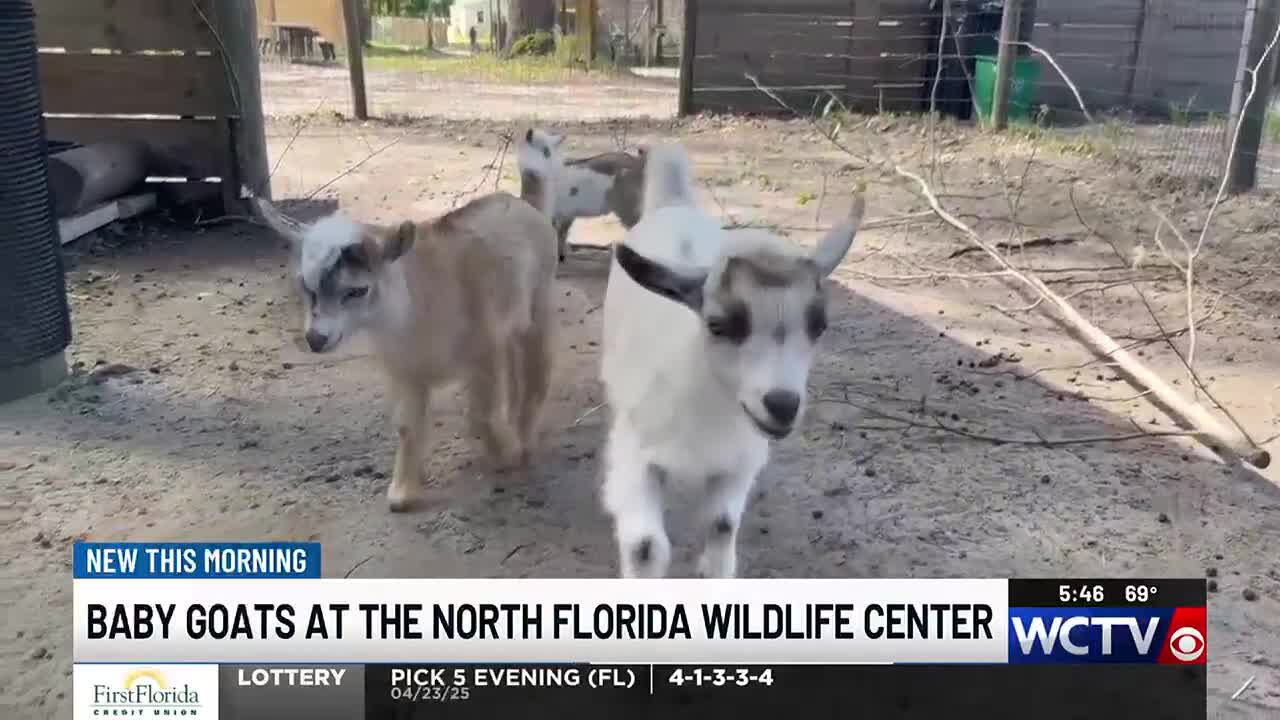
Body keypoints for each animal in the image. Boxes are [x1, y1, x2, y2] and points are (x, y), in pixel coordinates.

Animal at [253, 193, 559, 512]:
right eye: (305, 285)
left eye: (357, 291)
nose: (315, 339)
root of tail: (514, 200)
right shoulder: (408, 370)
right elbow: (407, 425)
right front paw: (403, 493)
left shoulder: (484, 352)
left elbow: (479, 415)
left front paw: (509, 454)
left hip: (539, 301)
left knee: (537, 367)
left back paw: (524, 437)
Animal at [599, 143, 865, 578]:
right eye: (718, 324)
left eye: (819, 326)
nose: (782, 405)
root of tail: (674, 203)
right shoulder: (634, 456)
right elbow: (646, 547)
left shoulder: (740, 460)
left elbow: (721, 524)